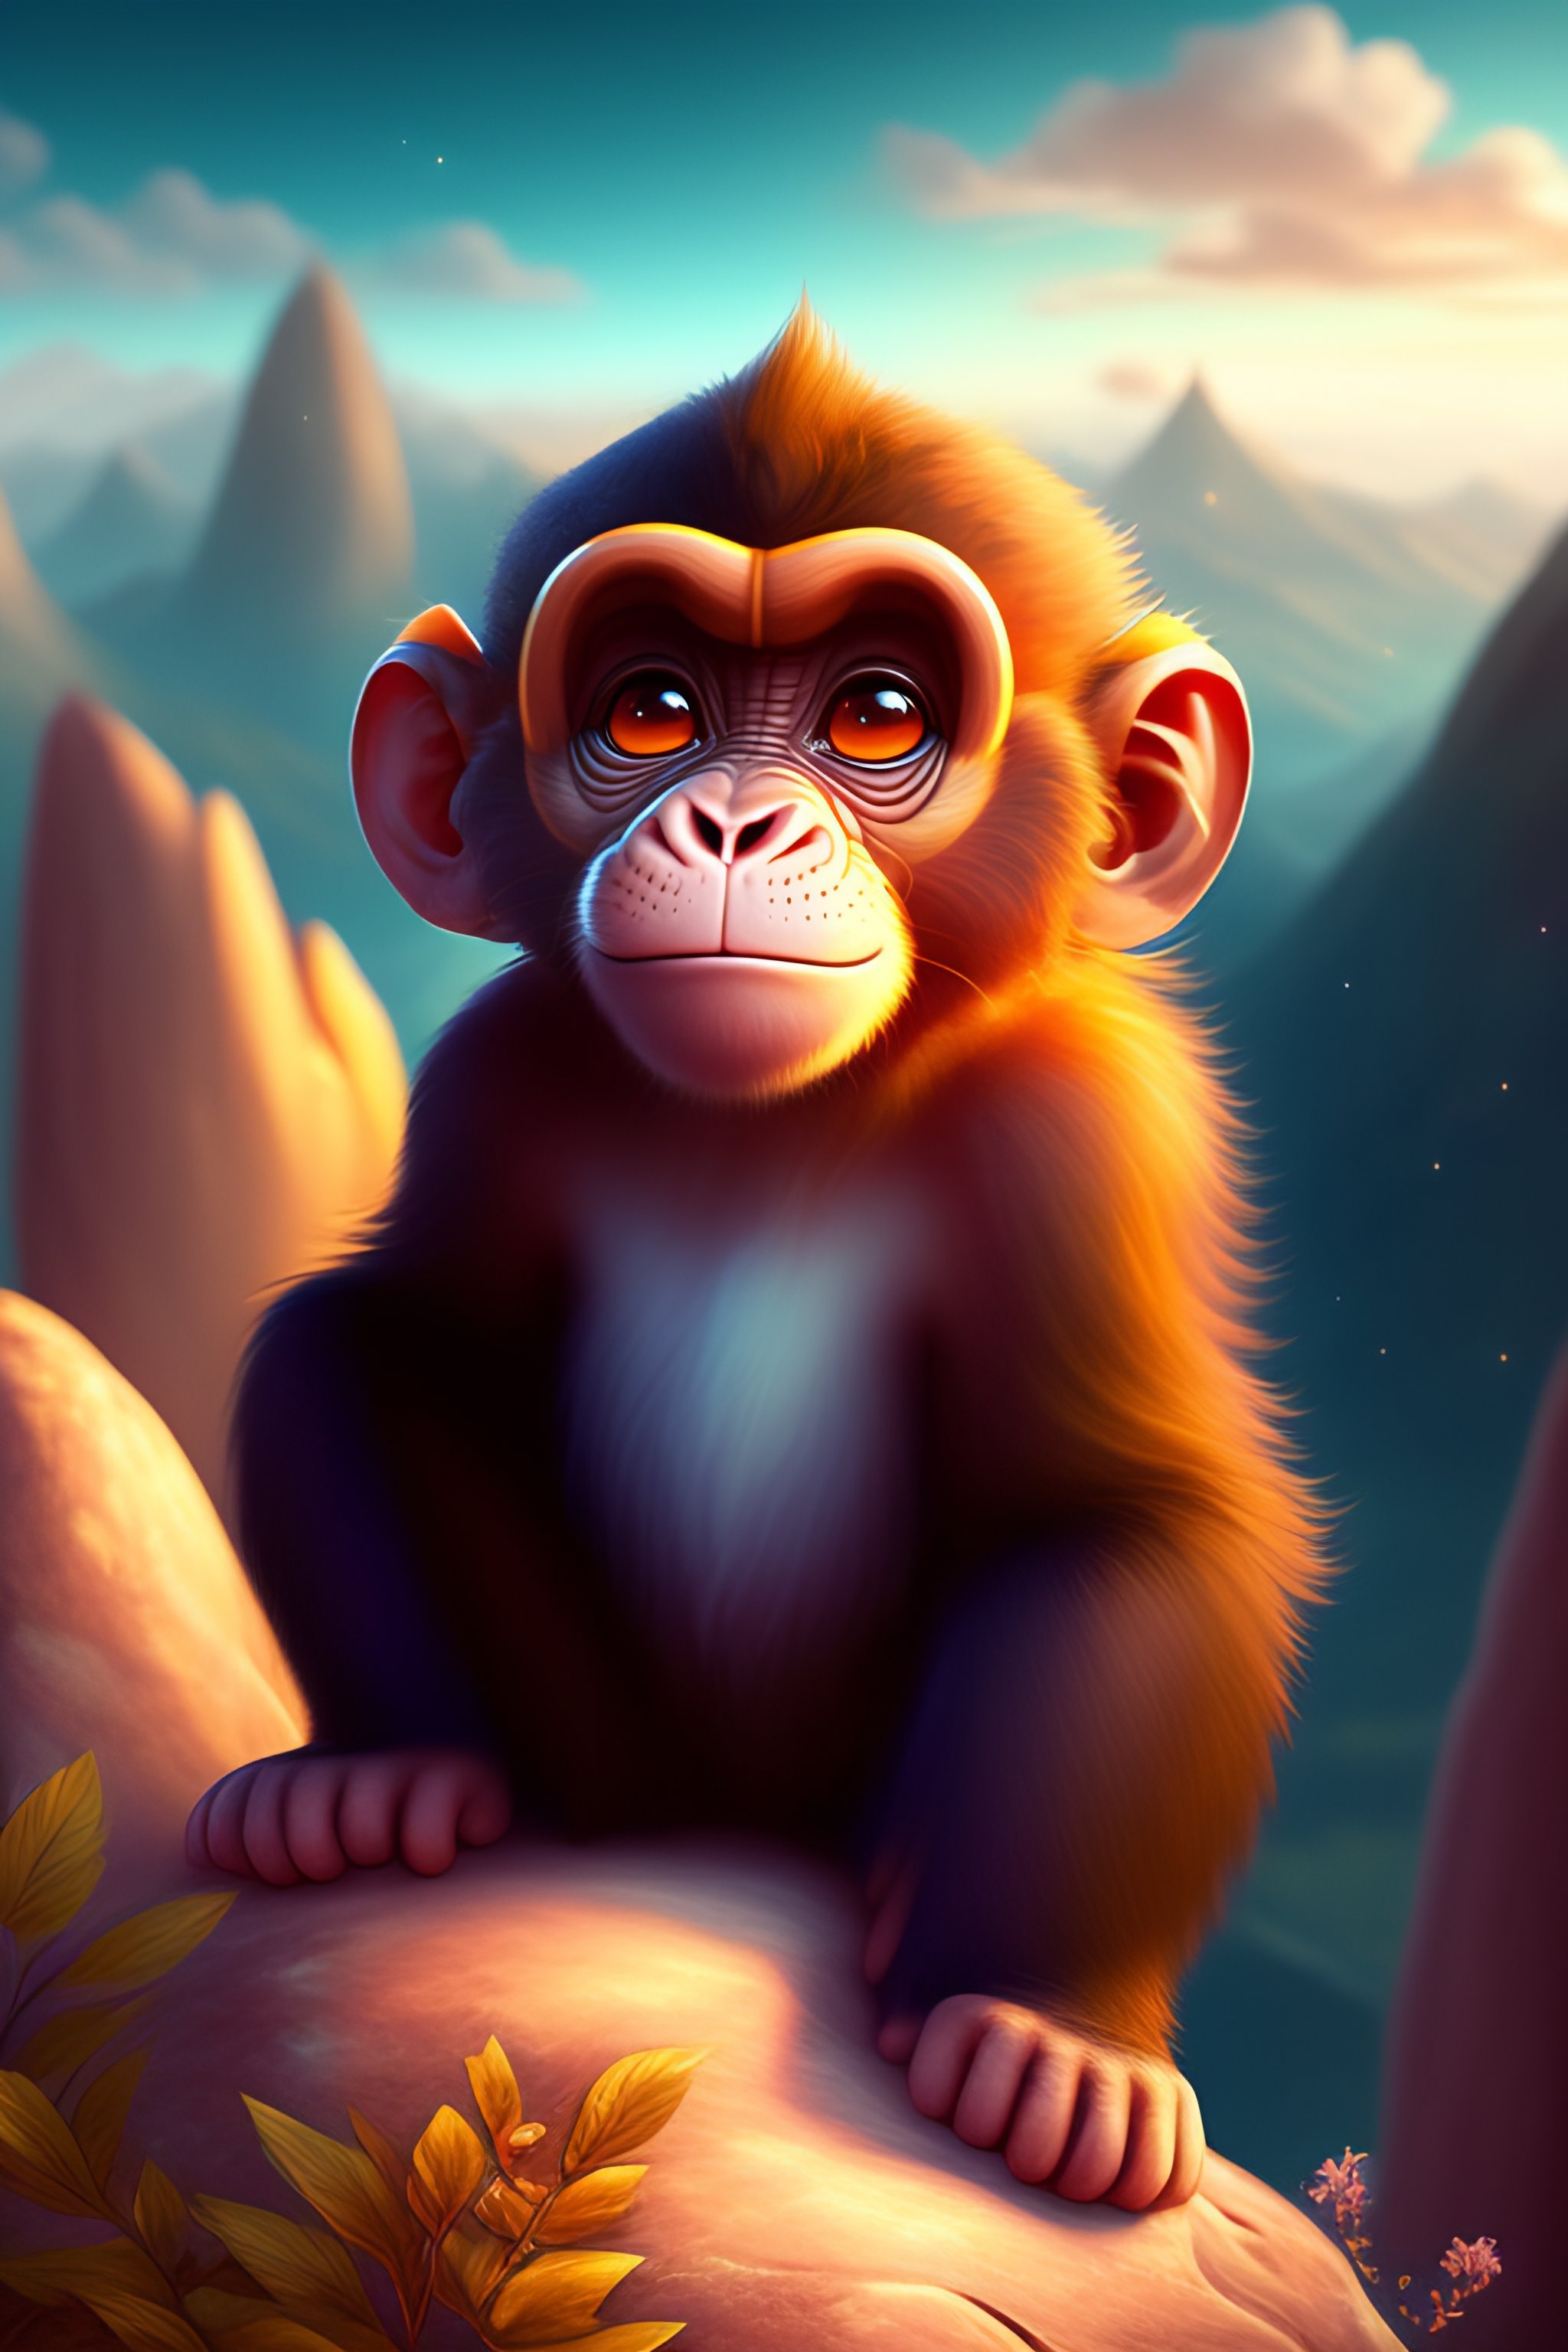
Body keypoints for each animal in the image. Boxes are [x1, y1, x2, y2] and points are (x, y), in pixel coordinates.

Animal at [187, 305, 1331, 2213]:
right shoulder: (499, 1074)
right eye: (651, 708)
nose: (730, 825)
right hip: (627, 1771)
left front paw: (1044, 2027)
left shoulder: (1088, 1125)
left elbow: (1113, 1500)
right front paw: (374, 1771)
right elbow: (382, 1335)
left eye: (878, 711)